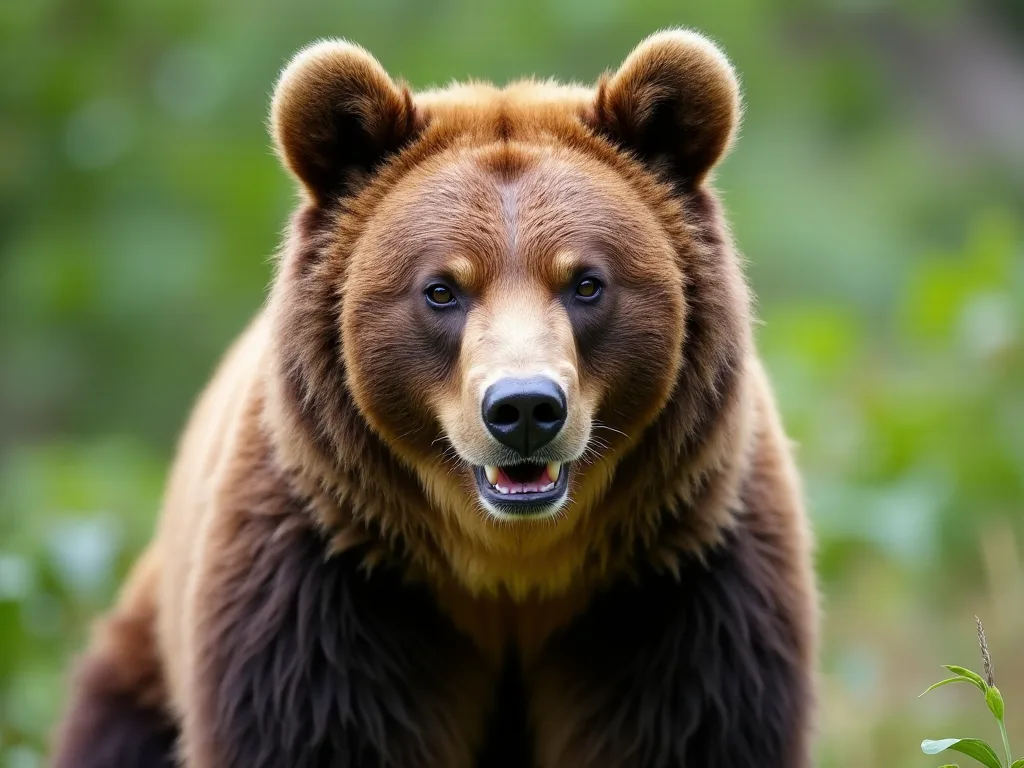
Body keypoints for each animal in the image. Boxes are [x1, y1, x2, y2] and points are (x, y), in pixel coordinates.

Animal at [51, 29, 818, 768]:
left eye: (586, 282)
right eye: (442, 288)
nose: (525, 409)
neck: (513, 570)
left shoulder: (678, 584)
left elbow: (690, 728)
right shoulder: (332, 585)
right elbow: (319, 730)